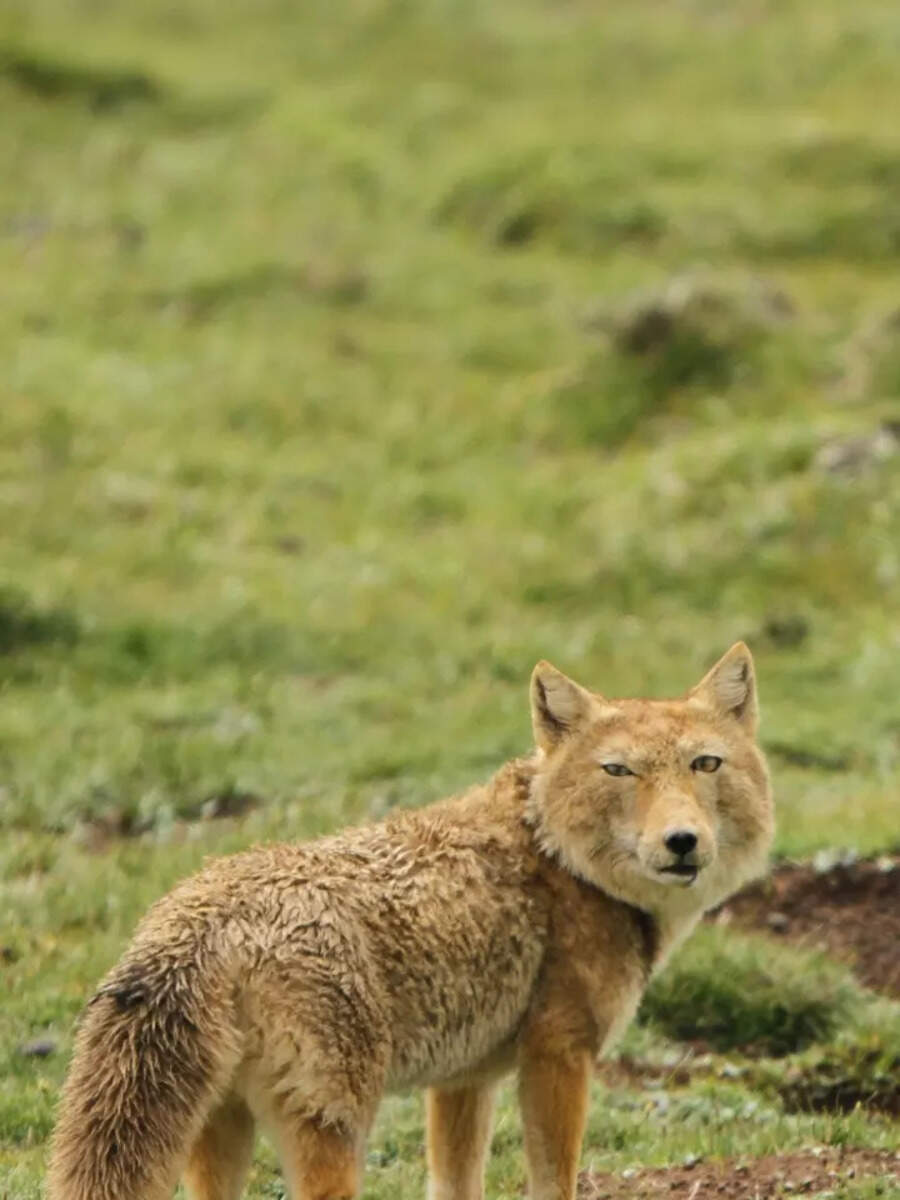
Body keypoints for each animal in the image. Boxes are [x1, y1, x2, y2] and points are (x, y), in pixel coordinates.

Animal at [48, 642, 773, 1200]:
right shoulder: (558, 1057)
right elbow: (553, 1183)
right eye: (618, 770)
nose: (682, 842)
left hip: (220, 1130)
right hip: (333, 1130)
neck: (556, 854)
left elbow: (456, 1185)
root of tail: (198, 917)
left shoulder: (464, 1080)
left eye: (705, 763)